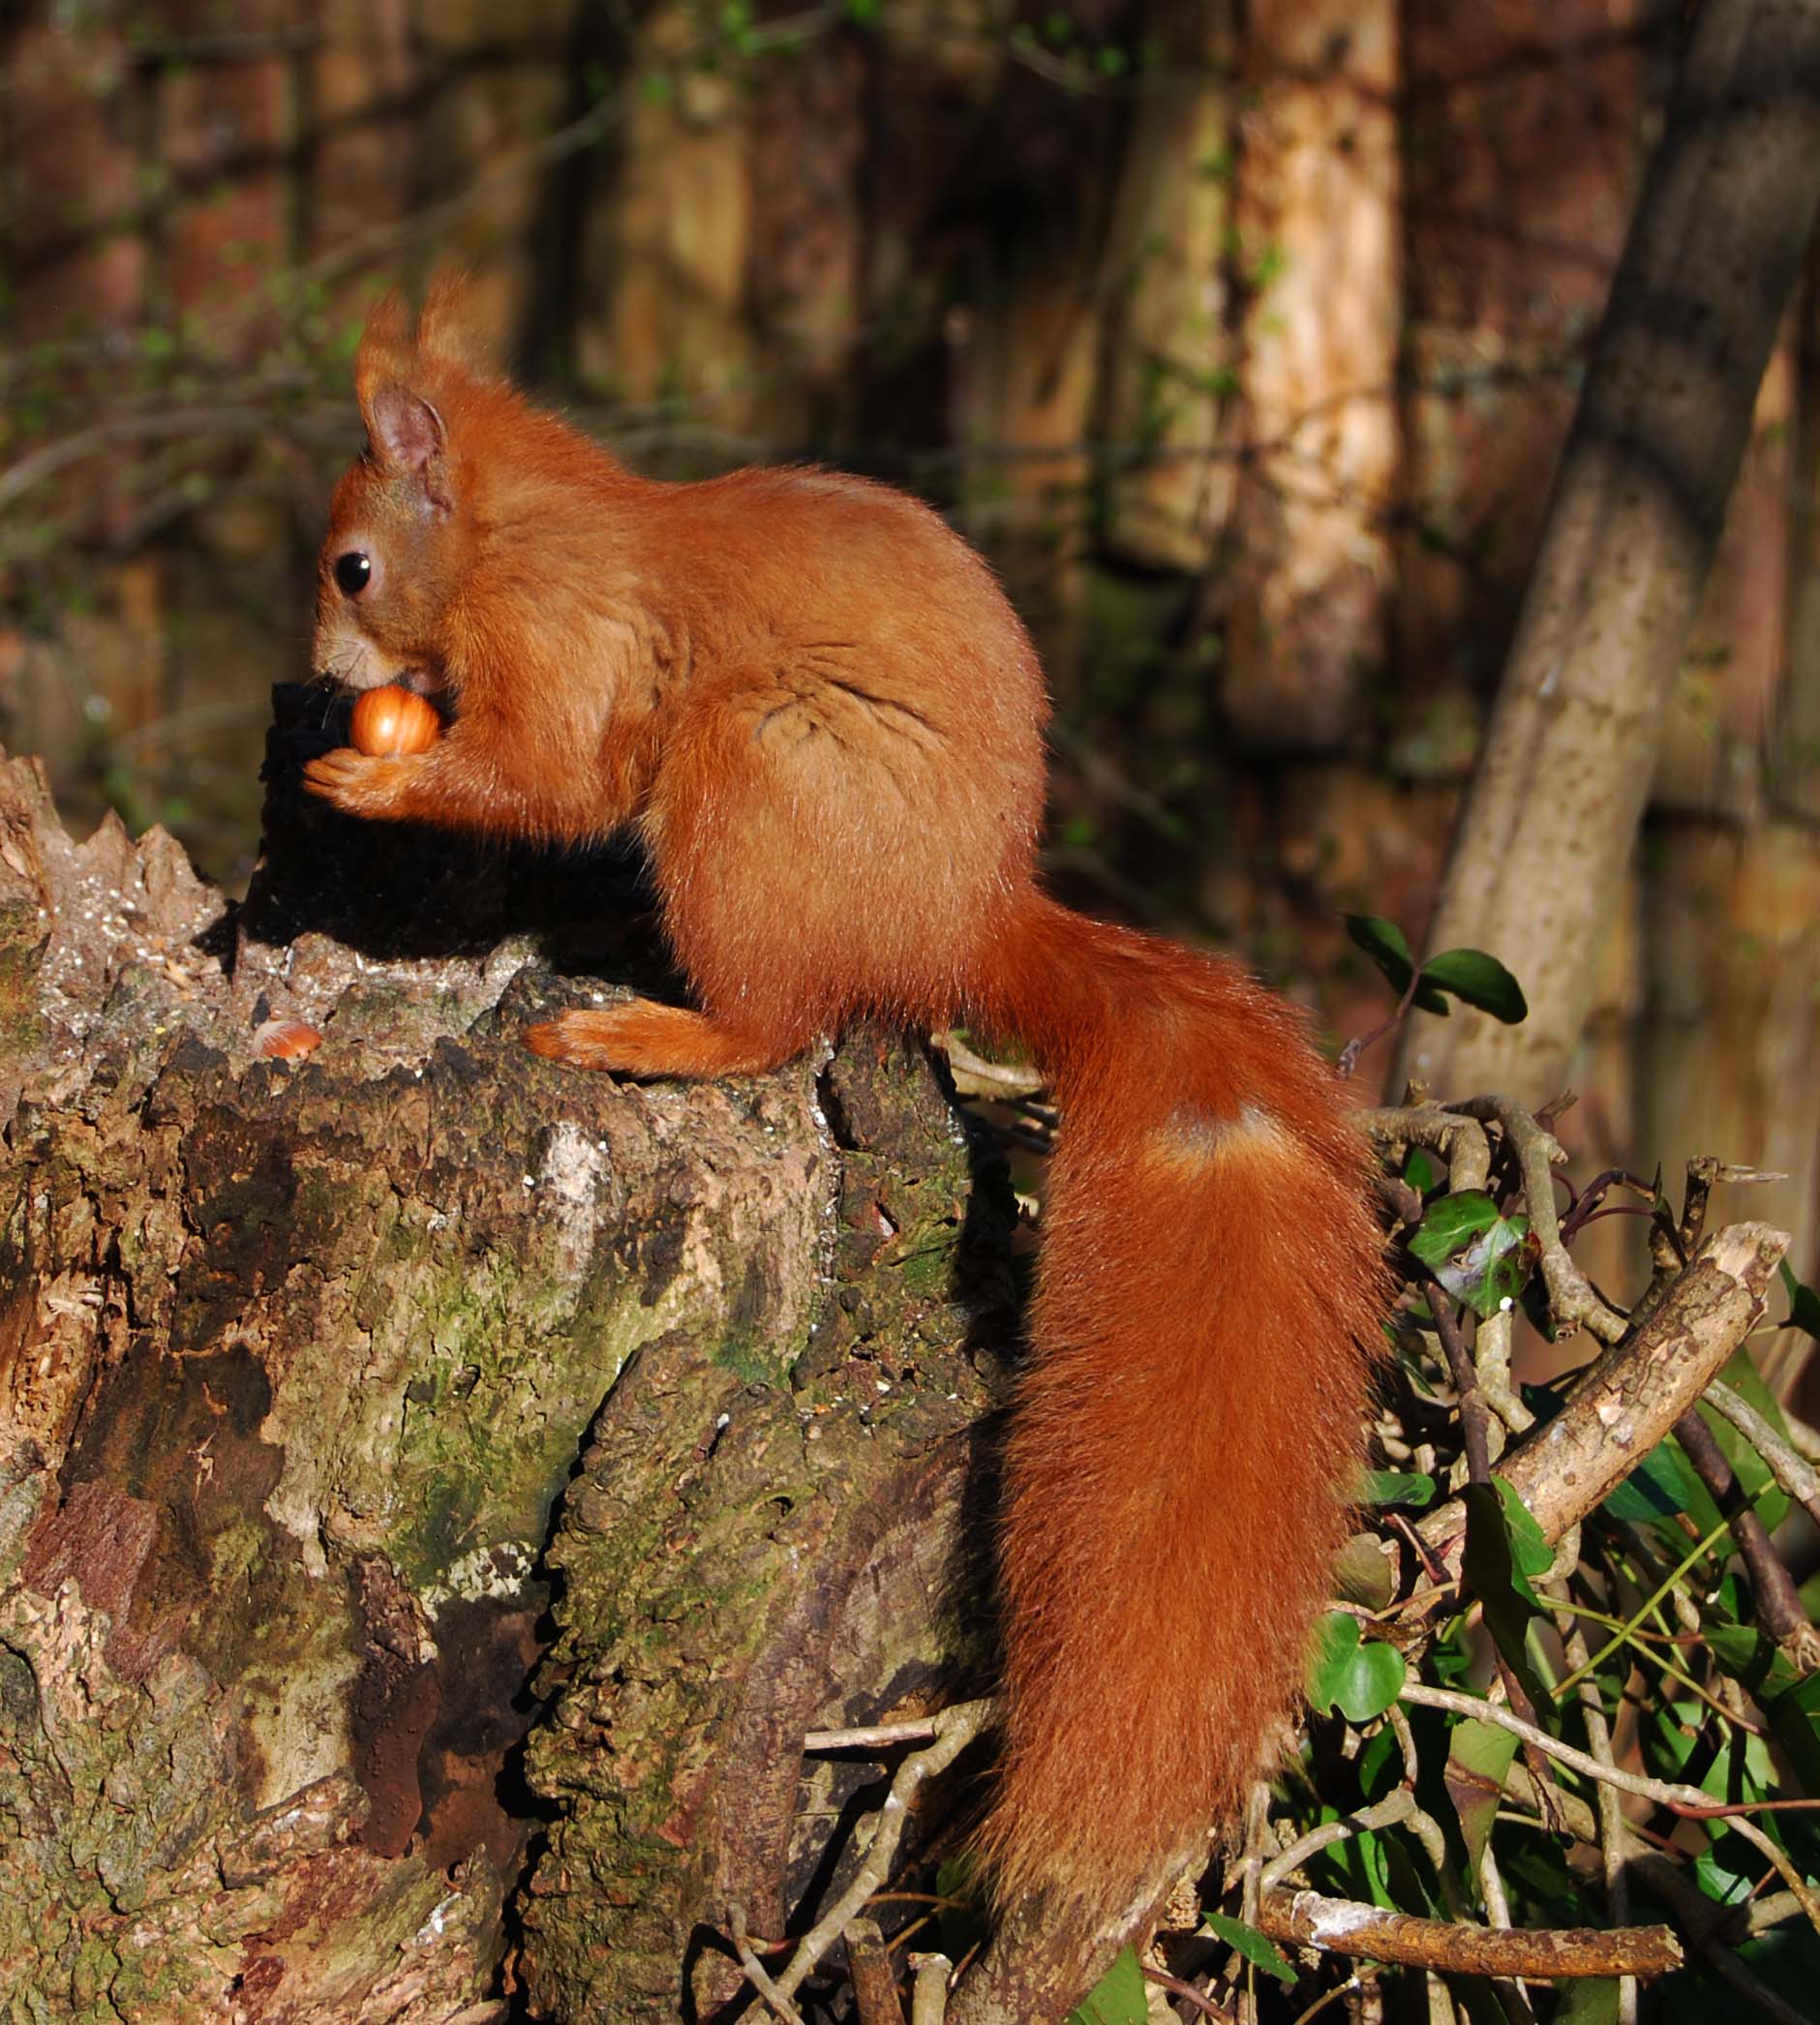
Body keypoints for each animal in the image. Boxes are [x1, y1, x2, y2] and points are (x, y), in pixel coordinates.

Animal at [305, 280, 1385, 1926]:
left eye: (353, 565)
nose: (323, 670)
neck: (513, 533)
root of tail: (960, 923)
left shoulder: (562, 642)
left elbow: (550, 780)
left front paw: (371, 783)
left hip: (753, 781)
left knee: (774, 1024)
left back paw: (649, 1030)